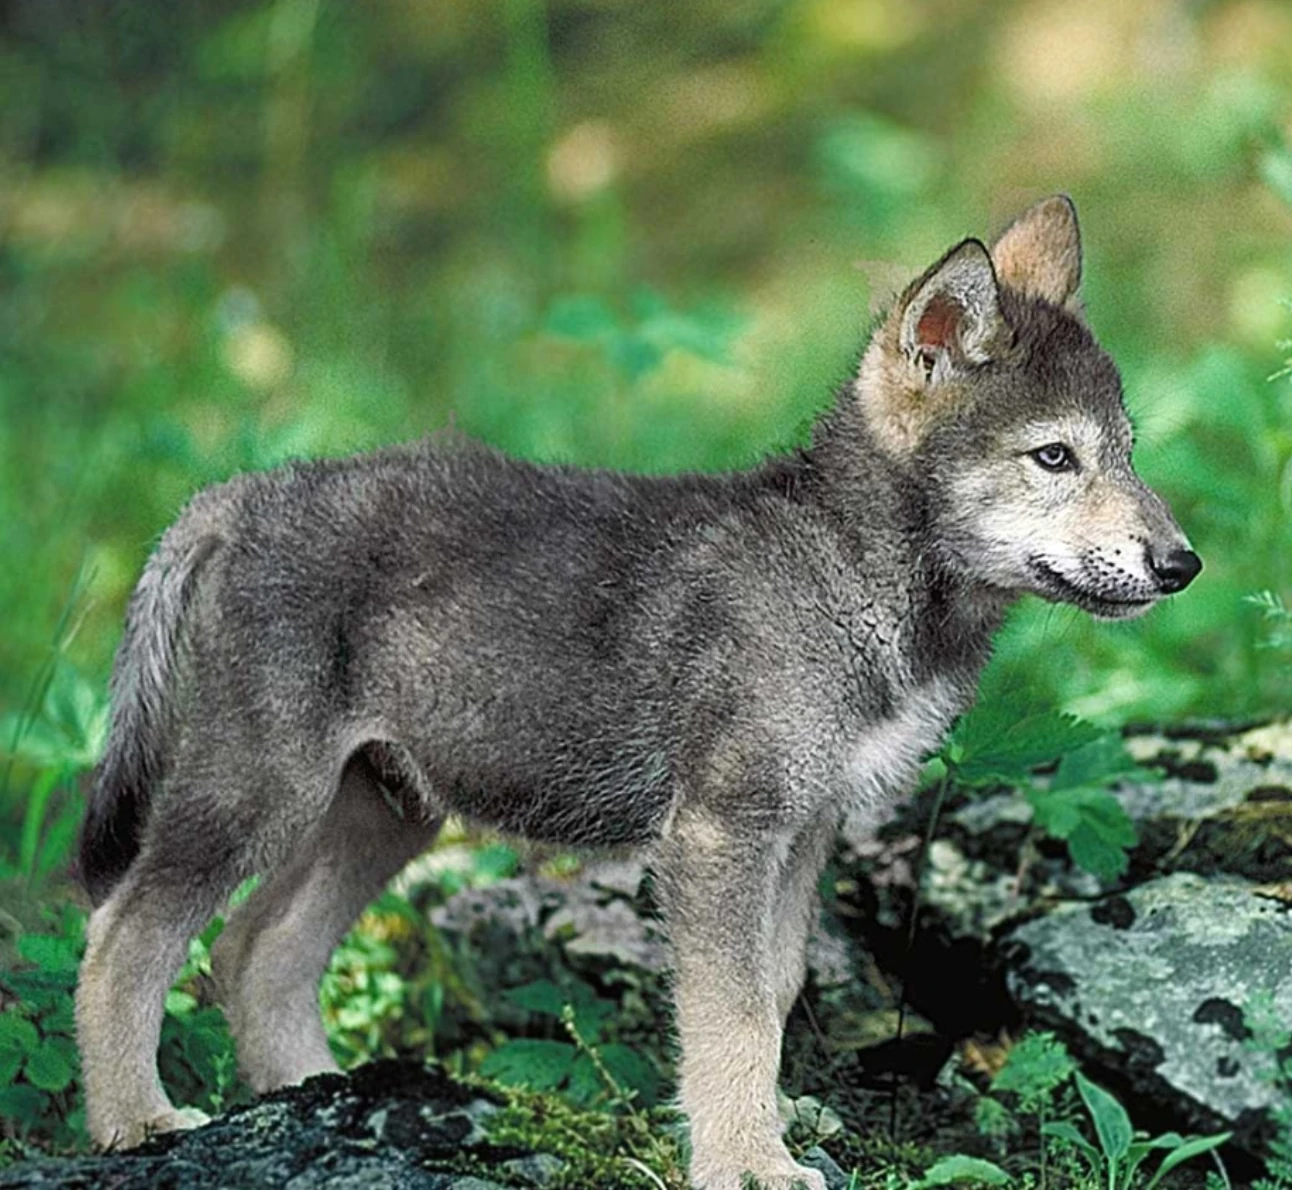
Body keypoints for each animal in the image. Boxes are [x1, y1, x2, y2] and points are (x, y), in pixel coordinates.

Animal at [75, 196, 1199, 1189]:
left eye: (1129, 452)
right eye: (1052, 455)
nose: (1181, 563)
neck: (851, 577)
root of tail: (243, 492)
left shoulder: (804, 828)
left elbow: (771, 996)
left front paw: (768, 1128)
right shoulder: (720, 832)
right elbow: (729, 1014)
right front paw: (748, 1164)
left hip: (383, 805)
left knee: (255, 947)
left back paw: (317, 1094)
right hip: (259, 786)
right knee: (124, 933)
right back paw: (136, 1120)